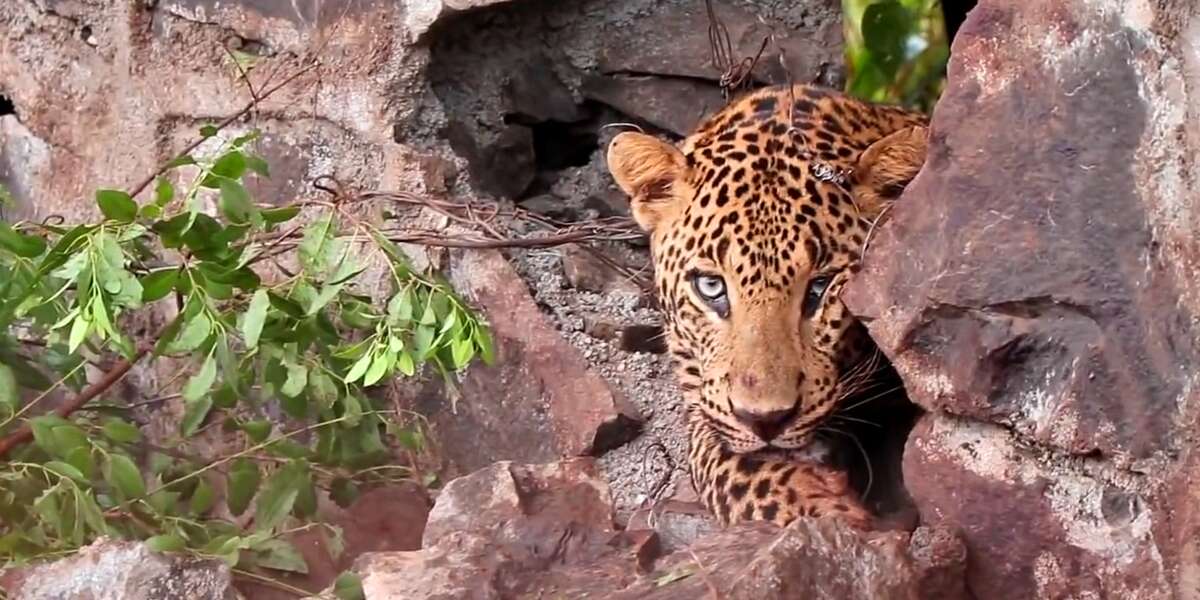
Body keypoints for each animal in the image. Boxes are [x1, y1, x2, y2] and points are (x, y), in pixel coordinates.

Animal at [606, 83, 929, 530]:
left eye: (820, 287)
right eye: (711, 287)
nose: (766, 419)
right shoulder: (702, 405)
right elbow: (726, 467)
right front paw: (825, 508)